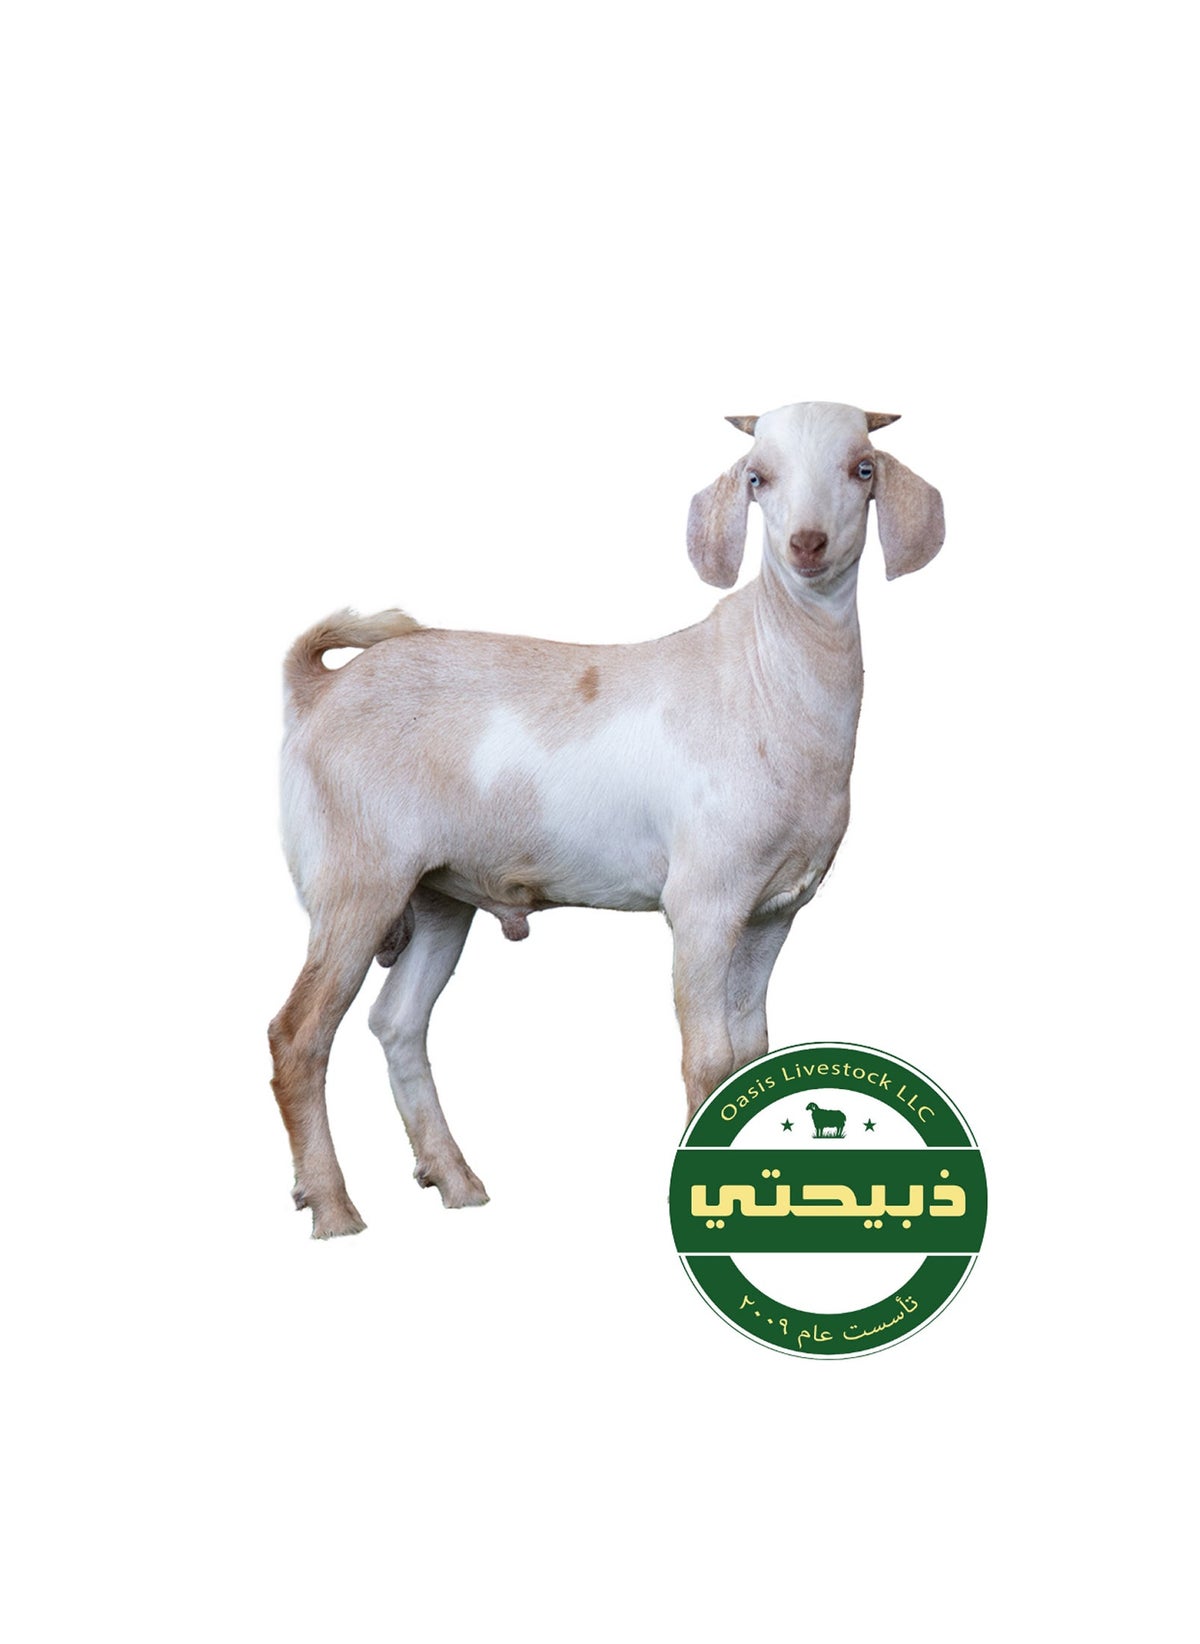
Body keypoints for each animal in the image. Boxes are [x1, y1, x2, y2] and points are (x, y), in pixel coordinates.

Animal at [269, 401, 944, 1237]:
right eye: (758, 477)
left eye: (862, 468)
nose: (808, 544)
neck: (768, 678)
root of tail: (316, 693)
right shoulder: (703, 901)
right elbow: (709, 1059)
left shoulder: (772, 911)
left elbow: (751, 1050)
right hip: (356, 876)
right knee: (299, 1035)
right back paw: (333, 1209)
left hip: (436, 892)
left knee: (397, 1023)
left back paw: (454, 1180)